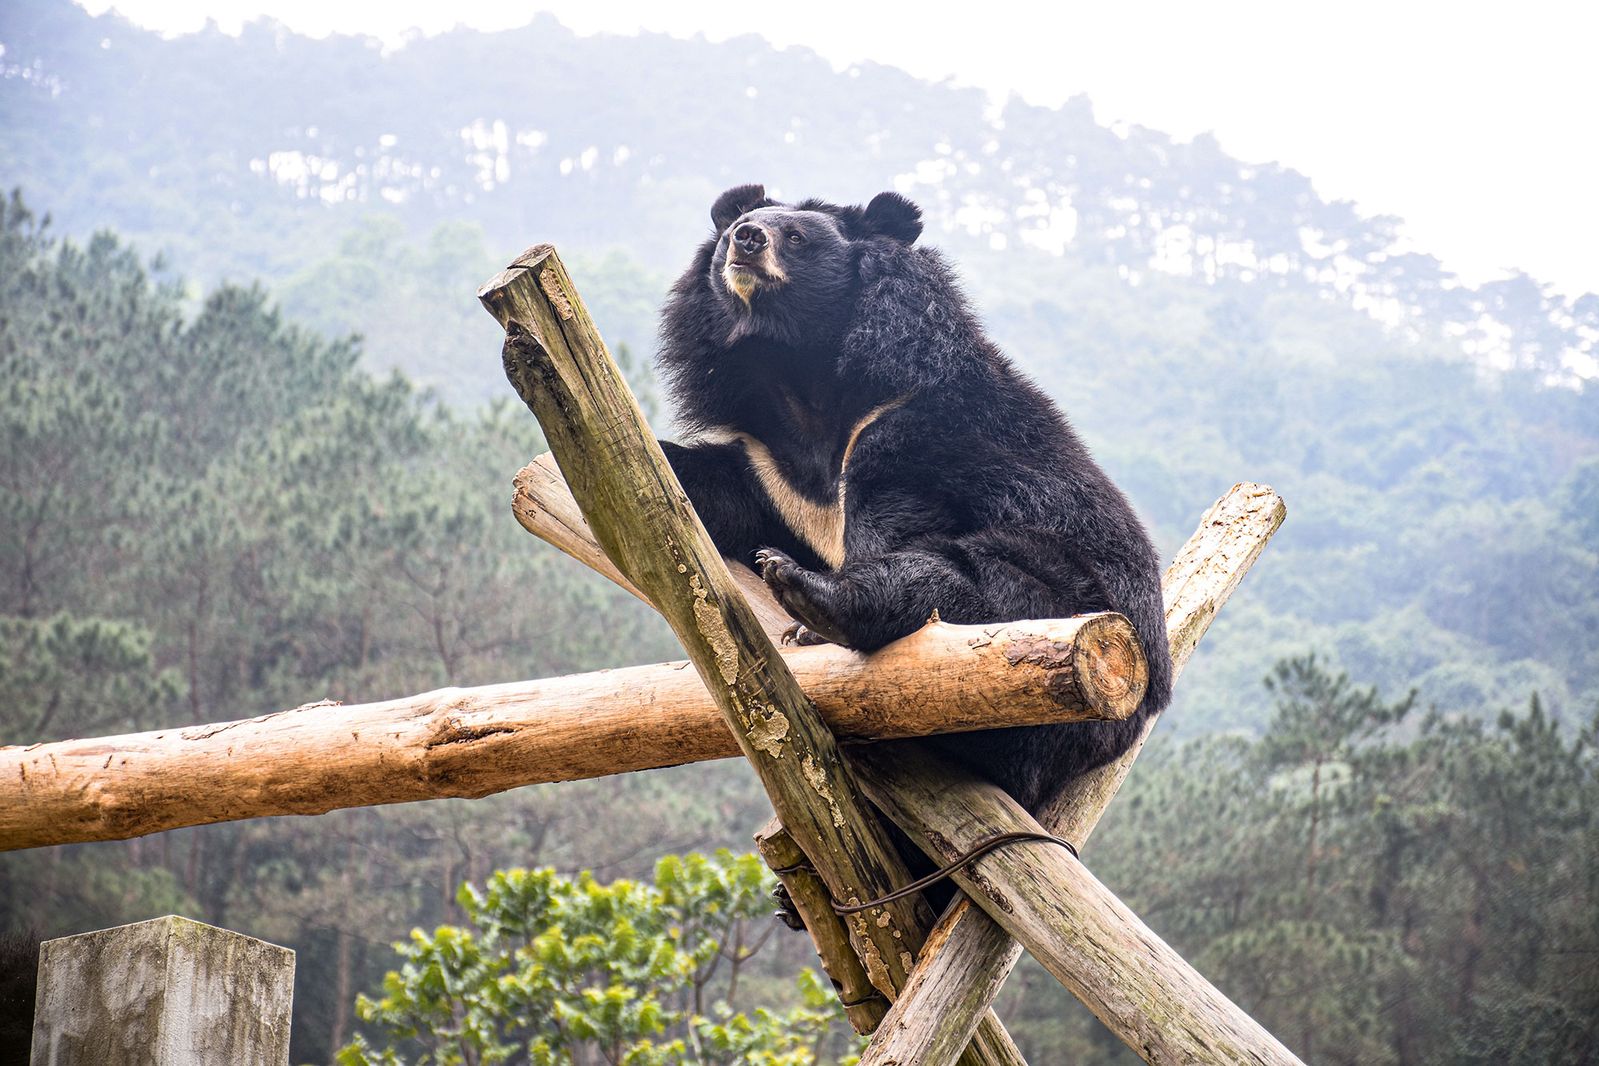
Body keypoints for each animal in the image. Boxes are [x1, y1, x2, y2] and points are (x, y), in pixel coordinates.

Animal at [656, 183, 1173, 822]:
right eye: (736, 228)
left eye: (795, 237)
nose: (747, 240)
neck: (805, 373)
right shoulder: (770, 467)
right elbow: (713, 486)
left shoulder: (913, 429)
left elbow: (896, 526)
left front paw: (813, 616)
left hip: (1076, 617)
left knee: (973, 580)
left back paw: (809, 594)